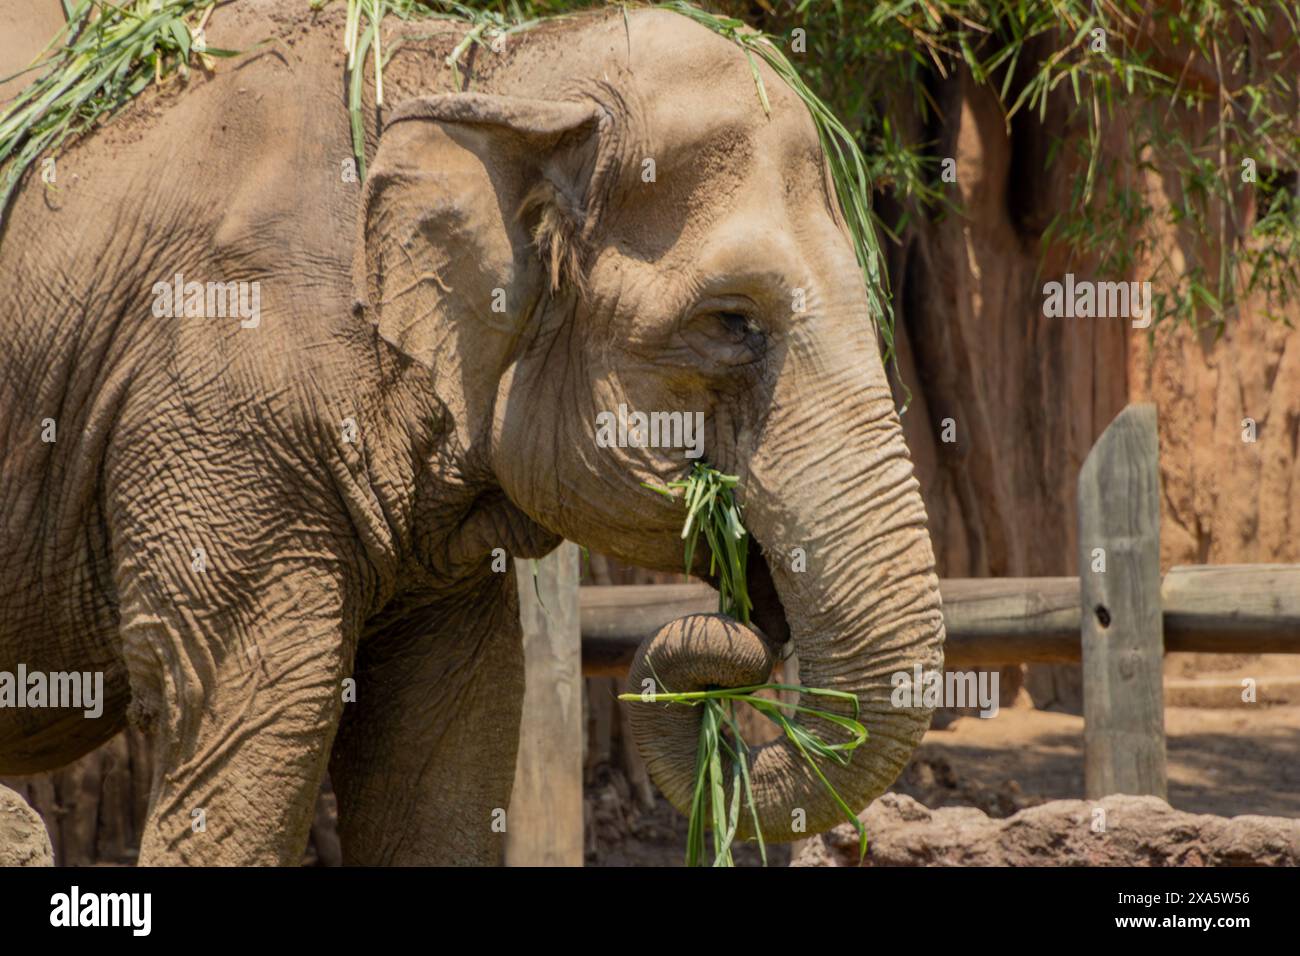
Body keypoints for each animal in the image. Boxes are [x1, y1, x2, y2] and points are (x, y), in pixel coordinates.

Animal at [0, 1, 944, 865]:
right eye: (732, 321)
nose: (741, 612)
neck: (495, 73)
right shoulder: (220, 399)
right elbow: (247, 711)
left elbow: (451, 734)